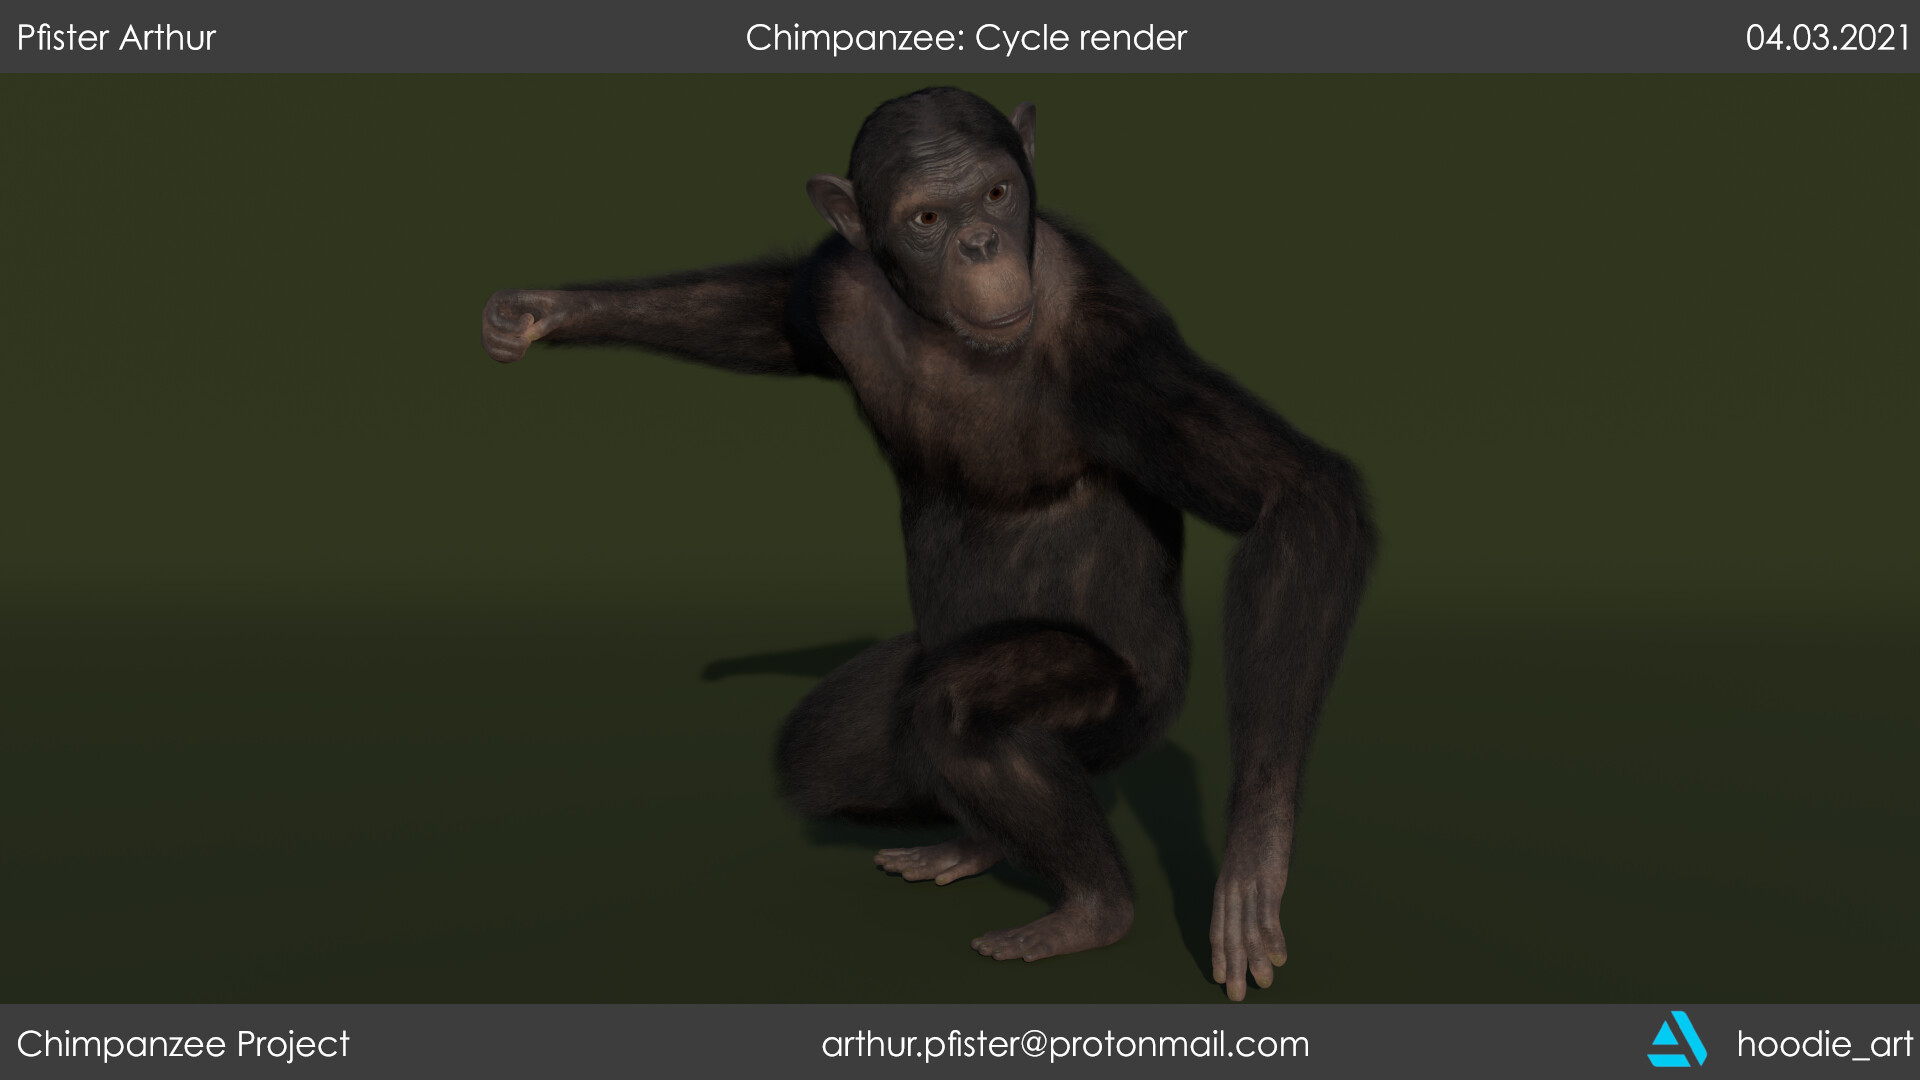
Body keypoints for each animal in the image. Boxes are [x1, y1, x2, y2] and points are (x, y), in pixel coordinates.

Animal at [481, 87, 1375, 1000]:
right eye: (927, 217)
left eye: (996, 195)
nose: (980, 244)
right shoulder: (836, 288)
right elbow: (773, 318)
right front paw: (543, 312)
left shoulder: (1118, 354)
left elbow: (1293, 497)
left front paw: (1255, 854)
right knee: (825, 749)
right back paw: (977, 841)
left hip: (1131, 707)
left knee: (960, 707)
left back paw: (1091, 907)